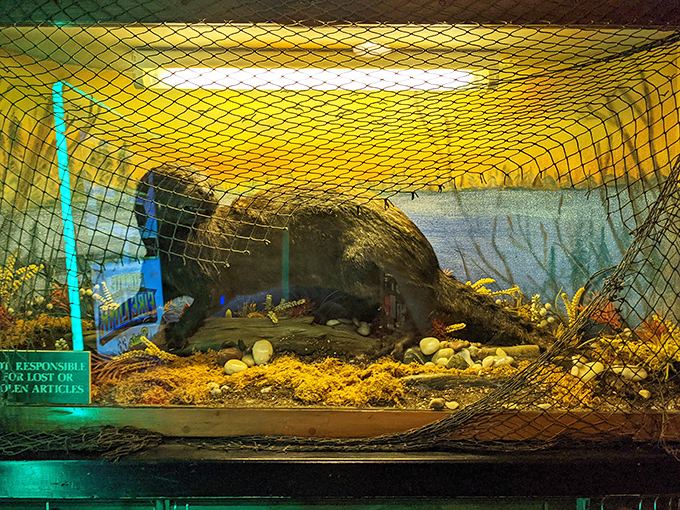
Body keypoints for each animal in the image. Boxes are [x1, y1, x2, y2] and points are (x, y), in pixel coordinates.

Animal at [134, 163, 553, 351]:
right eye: (185, 183)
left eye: (205, 181)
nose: (208, 193)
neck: (175, 250)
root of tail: (428, 262)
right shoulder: (164, 273)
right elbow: (150, 294)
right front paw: (133, 312)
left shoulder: (210, 274)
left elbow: (206, 301)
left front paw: (176, 332)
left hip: (360, 257)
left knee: (395, 302)